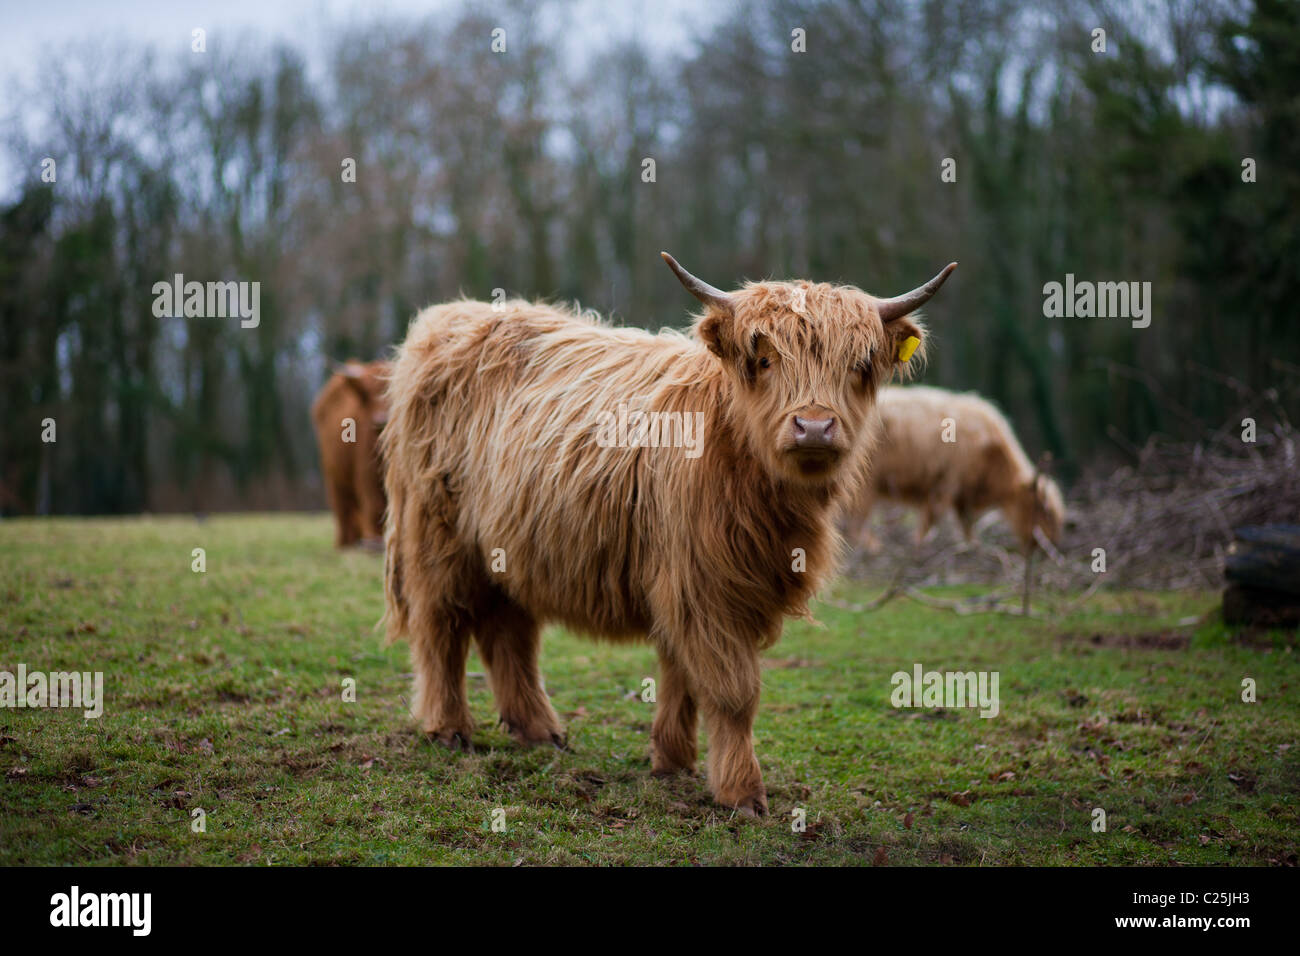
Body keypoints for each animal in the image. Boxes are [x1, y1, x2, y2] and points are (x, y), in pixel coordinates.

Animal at [311, 360, 390, 549]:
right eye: (366, 395)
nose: (380, 420)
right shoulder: (366, 473)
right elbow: (375, 506)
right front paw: (376, 540)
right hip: (334, 477)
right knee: (343, 510)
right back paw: (345, 543)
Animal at [381, 253, 956, 815]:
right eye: (764, 360)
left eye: (859, 366)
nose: (813, 427)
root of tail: (450, 317)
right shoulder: (703, 585)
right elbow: (733, 691)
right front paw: (742, 792)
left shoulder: (691, 585)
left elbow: (681, 675)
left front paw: (672, 762)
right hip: (437, 535)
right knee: (440, 626)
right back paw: (449, 728)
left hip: (509, 545)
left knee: (509, 632)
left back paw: (539, 731)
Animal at [843, 385, 1065, 553]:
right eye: (1044, 511)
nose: (1053, 545)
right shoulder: (944, 485)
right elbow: (932, 520)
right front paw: (921, 544)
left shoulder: (961, 494)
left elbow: (966, 522)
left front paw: (973, 545)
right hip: (866, 484)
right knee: (857, 521)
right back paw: (872, 547)